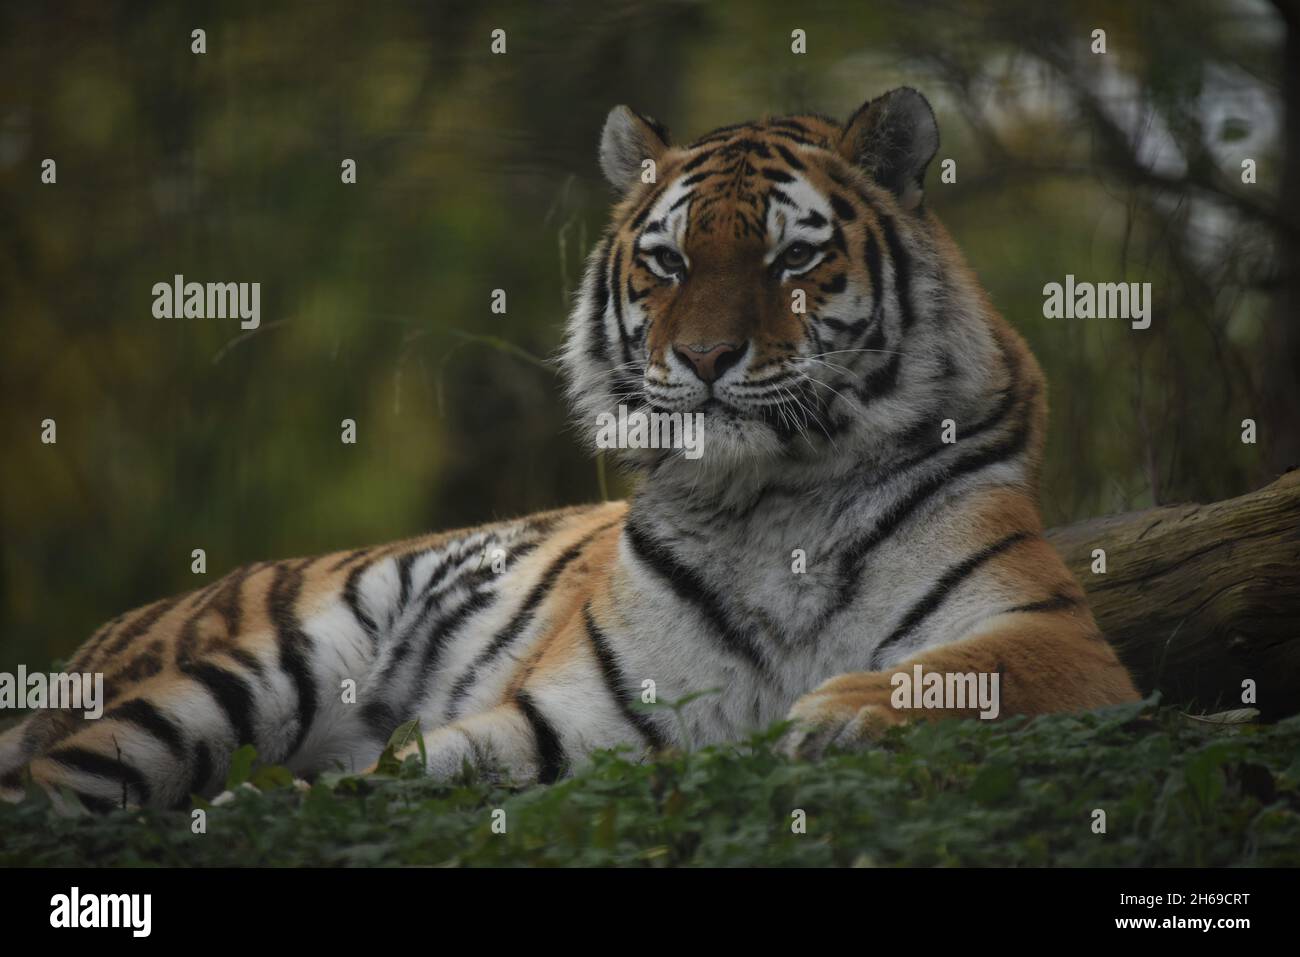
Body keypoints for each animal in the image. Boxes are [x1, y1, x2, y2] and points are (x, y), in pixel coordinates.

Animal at [0, 88, 1139, 811]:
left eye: (792, 259)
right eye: (668, 262)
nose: (706, 356)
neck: (776, 496)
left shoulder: (1062, 640)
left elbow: (967, 675)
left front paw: (834, 712)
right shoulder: (573, 713)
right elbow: (400, 775)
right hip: (246, 672)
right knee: (61, 785)